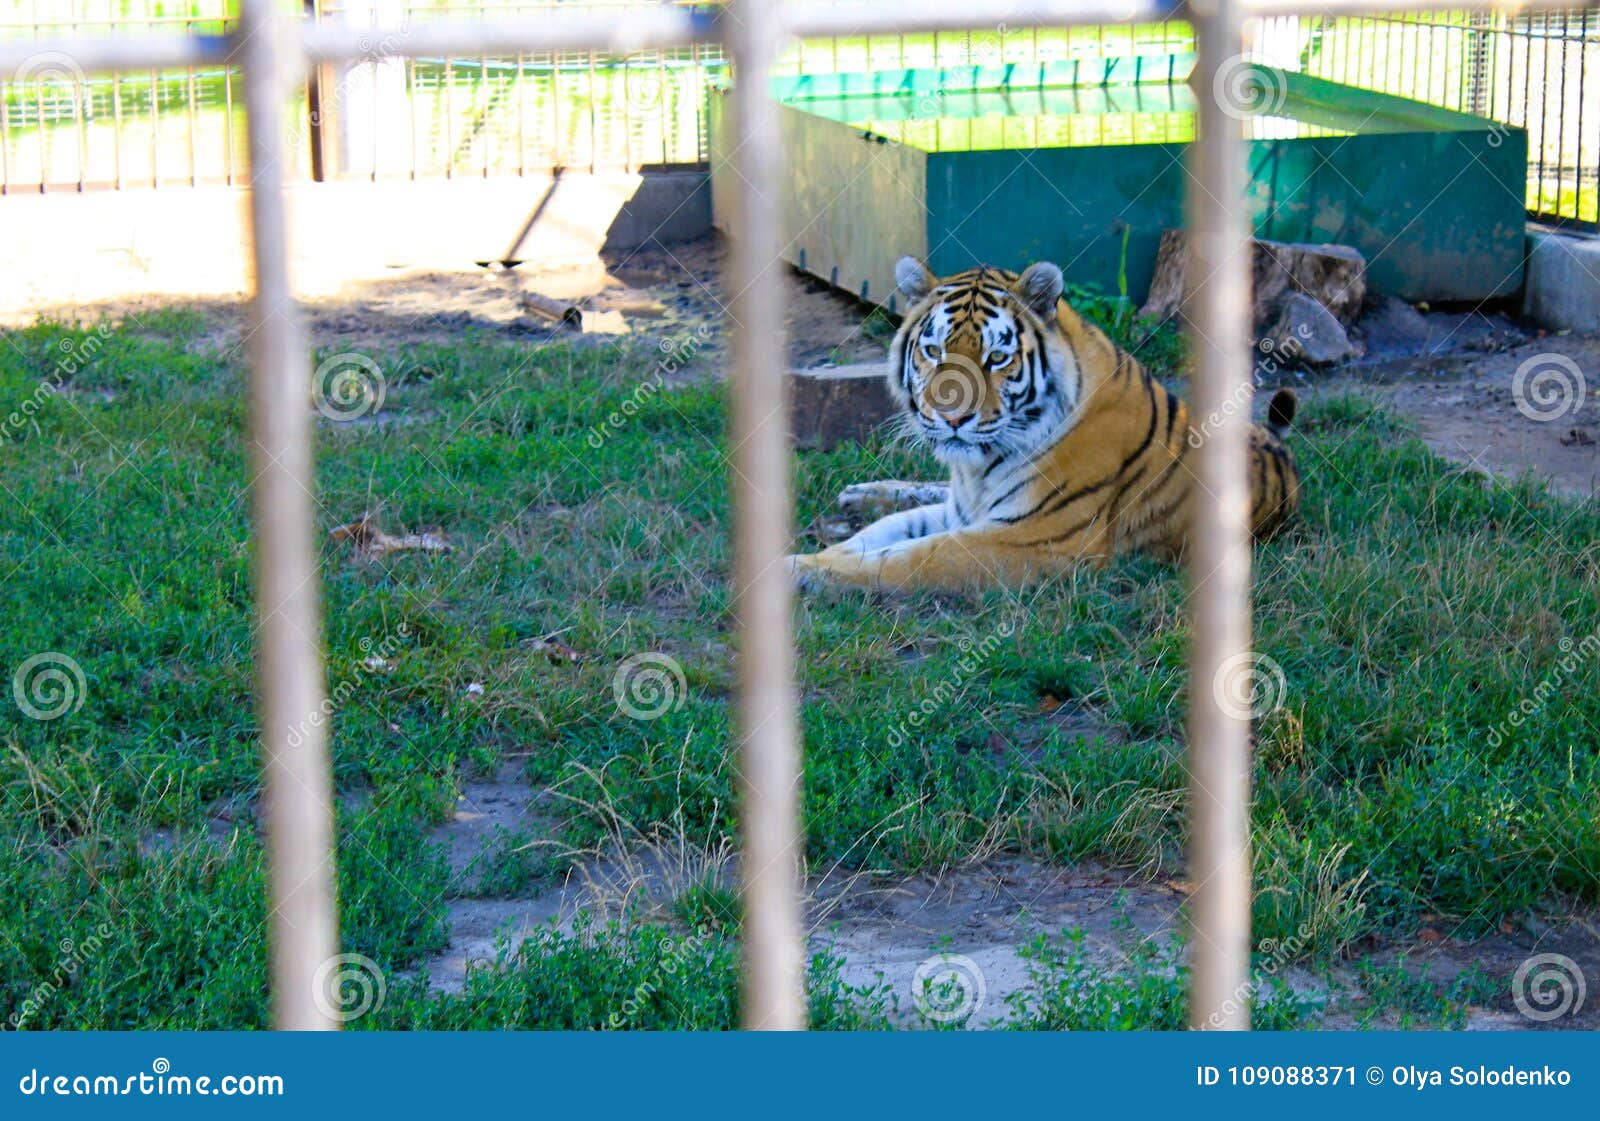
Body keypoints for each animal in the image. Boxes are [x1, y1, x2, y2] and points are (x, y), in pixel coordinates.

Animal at [785, 256, 1300, 592]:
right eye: (933, 351)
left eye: (996, 358)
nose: (951, 417)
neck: (978, 470)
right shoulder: (965, 512)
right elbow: (878, 536)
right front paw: (821, 554)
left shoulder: (1038, 540)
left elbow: (914, 558)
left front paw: (803, 572)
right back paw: (860, 493)